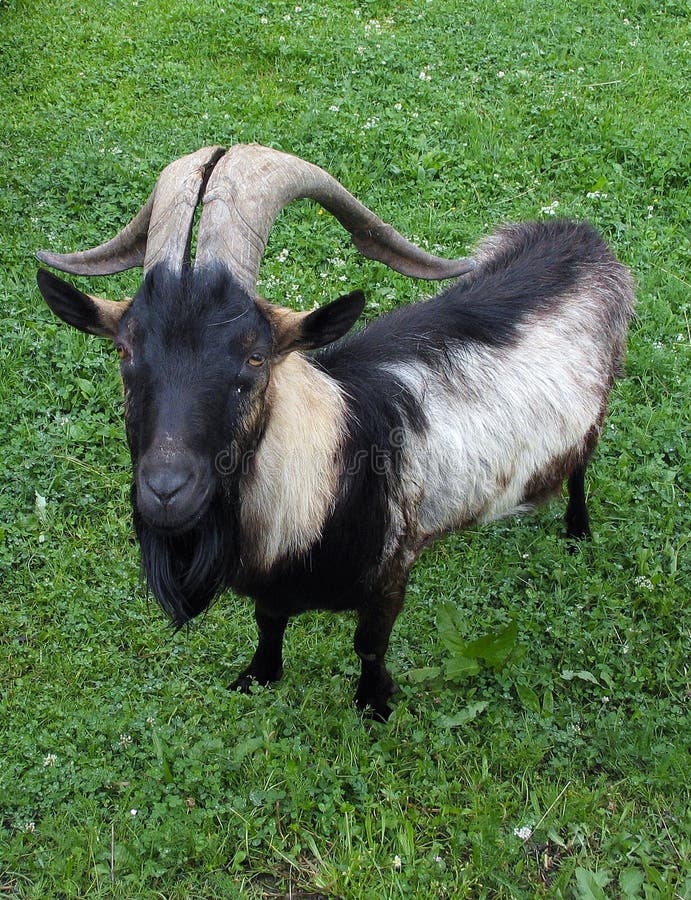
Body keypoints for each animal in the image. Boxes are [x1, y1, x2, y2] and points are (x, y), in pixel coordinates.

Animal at [37, 144, 634, 720]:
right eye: (124, 349)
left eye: (255, 356)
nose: (165, 491)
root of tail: (581, 235)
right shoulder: (271, 587)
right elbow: (268, 623)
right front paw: (257, 677)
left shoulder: (393, 569)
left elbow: (369, 644)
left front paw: (374, 704)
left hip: (595, 412)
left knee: (581, 467)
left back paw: (578, 531)